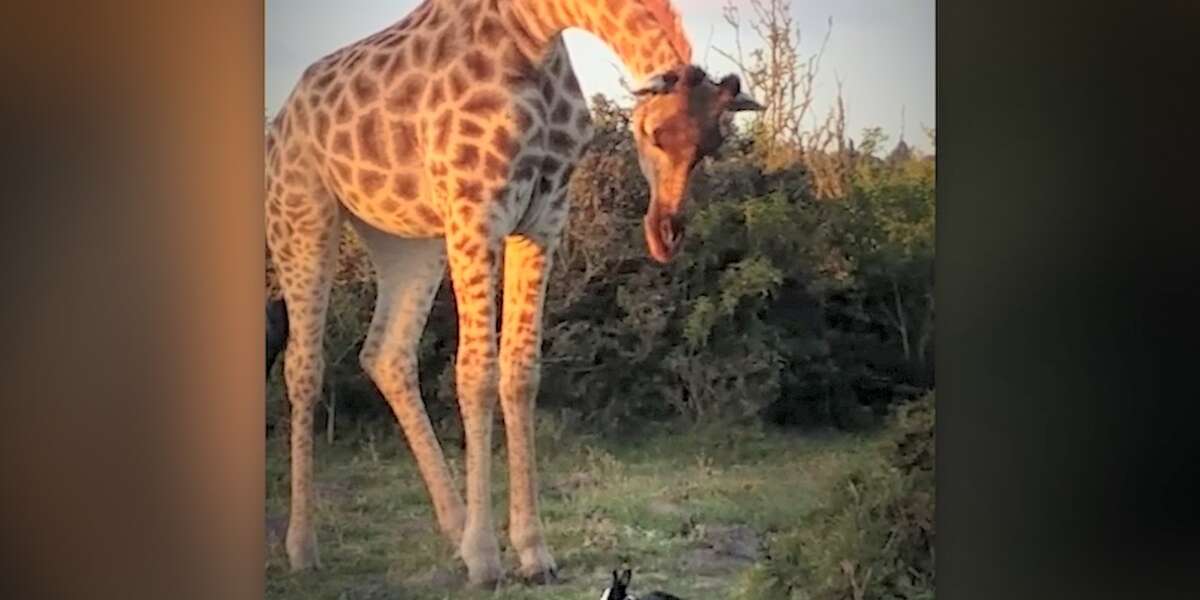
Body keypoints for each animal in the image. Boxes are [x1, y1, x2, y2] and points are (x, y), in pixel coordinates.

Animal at [265, 0, 763, 586]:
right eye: (655, 131)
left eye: (713, 145)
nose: (666, 233)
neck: (535, 32)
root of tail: (283, 118)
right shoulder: (476, 211)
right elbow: (475, 374)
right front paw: (485, 559)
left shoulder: (543, 218)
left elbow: (521, 372)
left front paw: (532, 551)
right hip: (303, 213)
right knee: (303, 365)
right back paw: (303, 547)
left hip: (407, 240)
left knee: (386, 353)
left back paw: (454, 525)